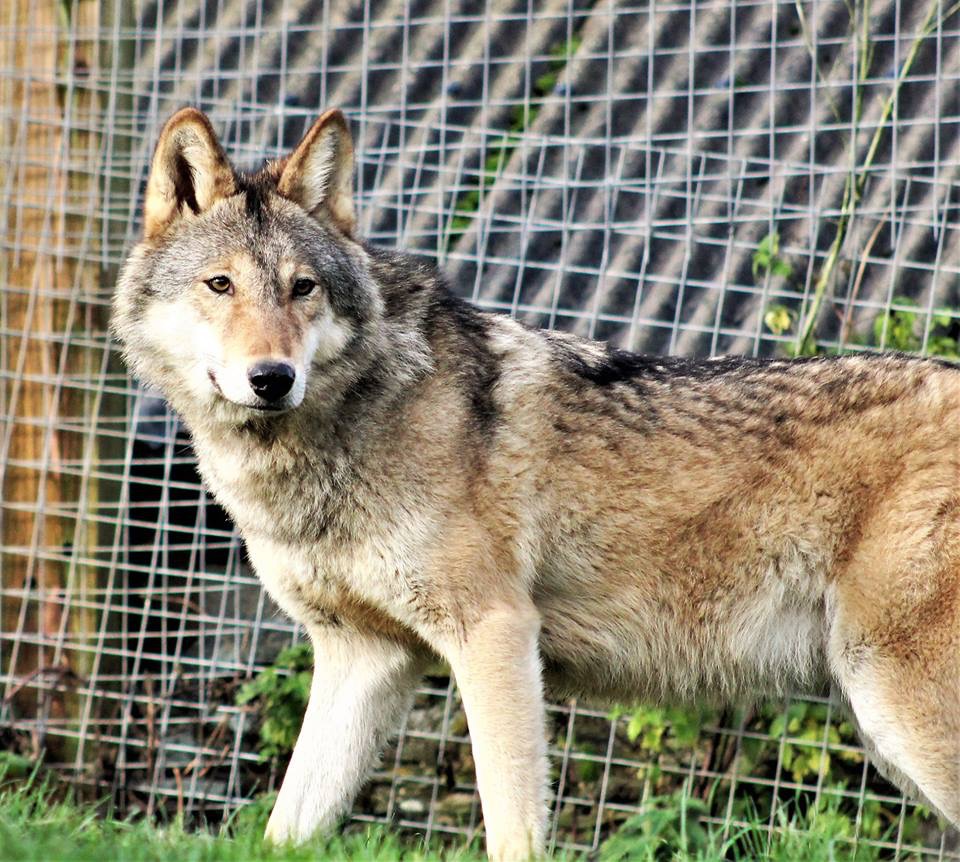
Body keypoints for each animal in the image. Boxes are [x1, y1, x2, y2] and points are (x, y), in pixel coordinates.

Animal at [112, 107, 960, 860]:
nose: (272, 378)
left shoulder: (494, 633)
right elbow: (286, 827)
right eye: (220, 285)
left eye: (302, 288)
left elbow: (511, 828)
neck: (349, 430)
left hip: (894, 706)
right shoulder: (364, 658)